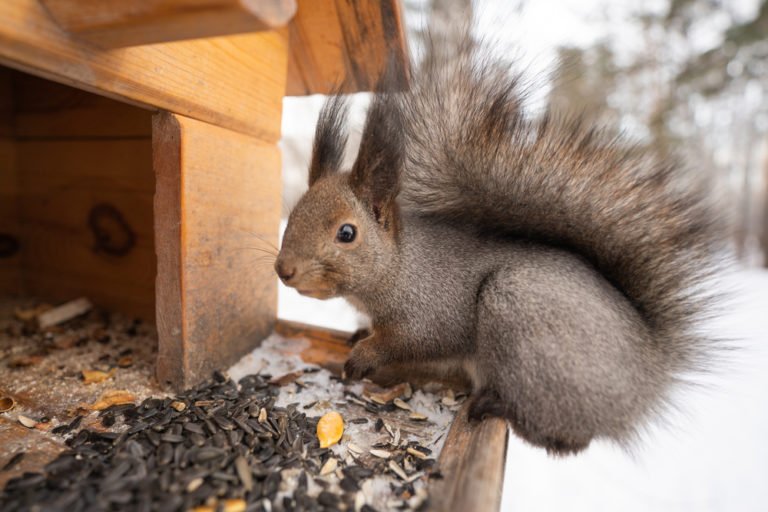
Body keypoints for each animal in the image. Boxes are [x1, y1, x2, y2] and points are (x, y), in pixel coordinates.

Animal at [275, 39, 725, 455]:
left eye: (346, 233)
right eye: (293, 212)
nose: (284, 269)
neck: (400, 265)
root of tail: (647, 378)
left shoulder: (432, 307)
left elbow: (414, 340)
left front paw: (364, 355)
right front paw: (358, 334)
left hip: (518, 315)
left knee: (567, 438)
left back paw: (497, 407)